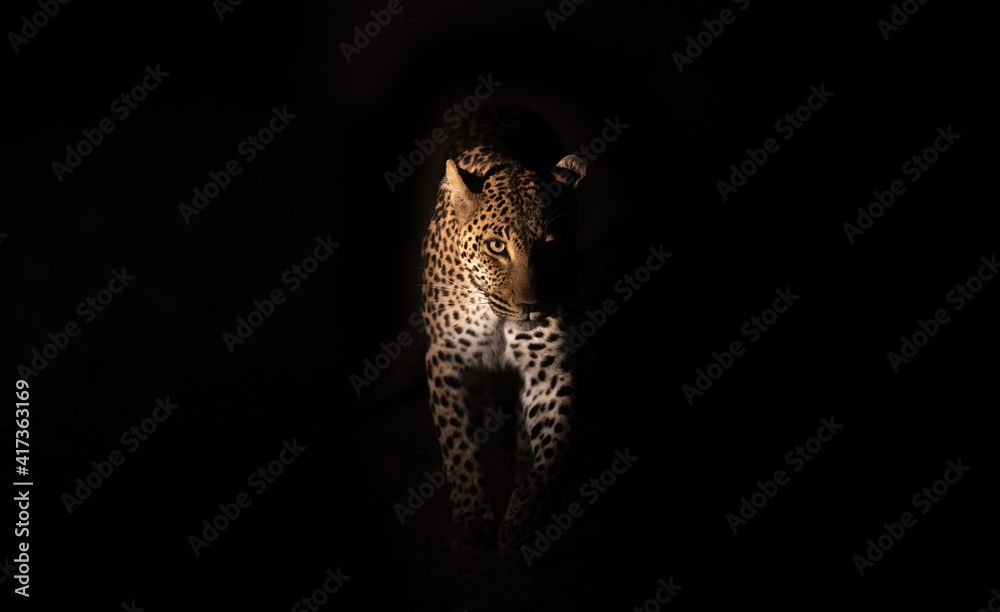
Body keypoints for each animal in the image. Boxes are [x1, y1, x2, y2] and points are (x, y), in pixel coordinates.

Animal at [419, 104, 587, 555]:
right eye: (497, 246)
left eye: (550, 246)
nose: (531, 307)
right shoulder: (446, 359)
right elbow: (457, 443)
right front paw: (473, 520)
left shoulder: (549, 368)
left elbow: (551, 454)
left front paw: (521, 523)